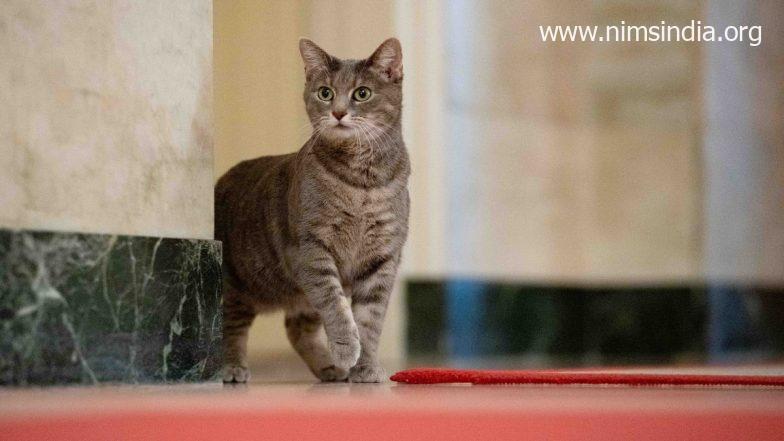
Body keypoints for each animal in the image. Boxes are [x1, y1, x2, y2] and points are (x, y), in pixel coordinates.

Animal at [214, 37, 410, 382]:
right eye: (325, 93)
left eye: (362, 93)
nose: (338, 112)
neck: (363, 184)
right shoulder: (311, 250)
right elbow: (335, 304)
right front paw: (346, 347)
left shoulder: (383, 258)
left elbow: (370, 322)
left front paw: (365, 367)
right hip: (236, 285)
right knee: (231, 327)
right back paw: (233, 367)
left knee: (296, 328)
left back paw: (330, 367)